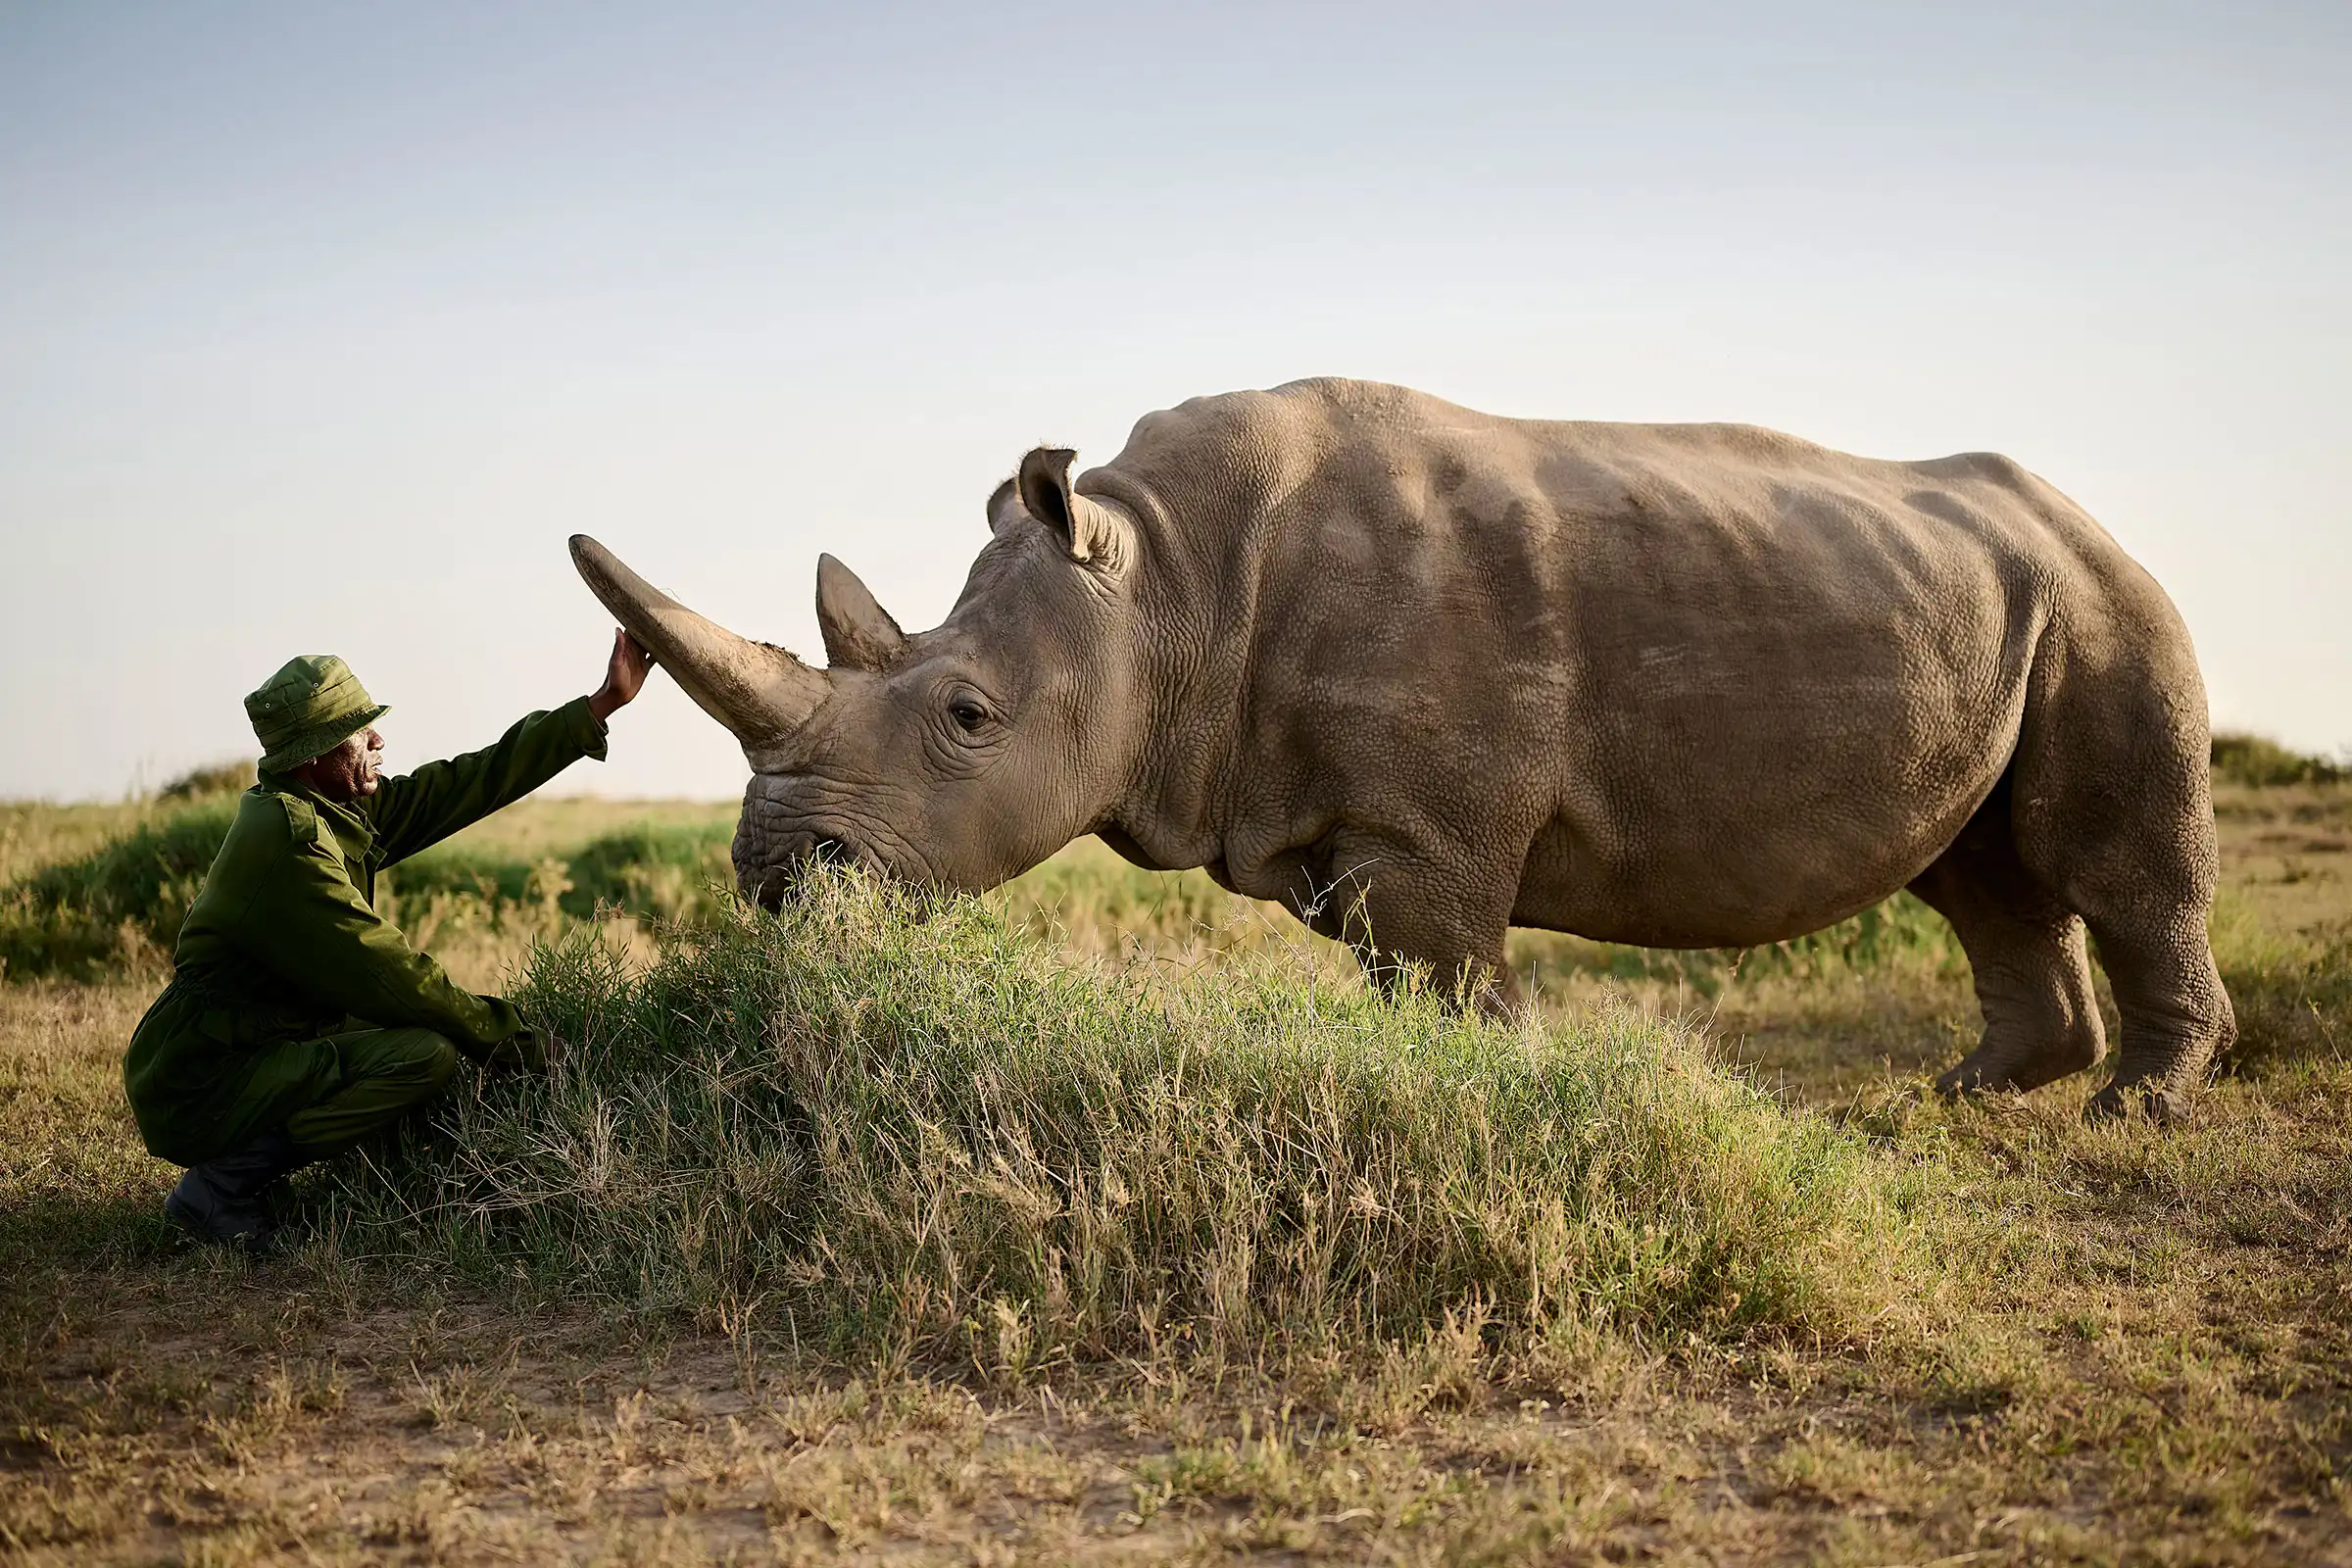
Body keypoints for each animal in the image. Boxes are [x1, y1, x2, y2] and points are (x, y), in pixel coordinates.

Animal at [571, 377, 2232, 1120]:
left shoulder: (1430, 832)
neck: (1159, 587)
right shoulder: (1344, 822)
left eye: (967, 719)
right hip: (1989, 599)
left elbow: (1454, 978)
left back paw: (2132, 1111)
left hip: (2105, 597)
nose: (777, 878)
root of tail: (2085, 522)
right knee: (1979, 871)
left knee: (2104, 860)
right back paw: (1965, 1099)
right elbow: (1410, 981)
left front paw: (1506, 1113)